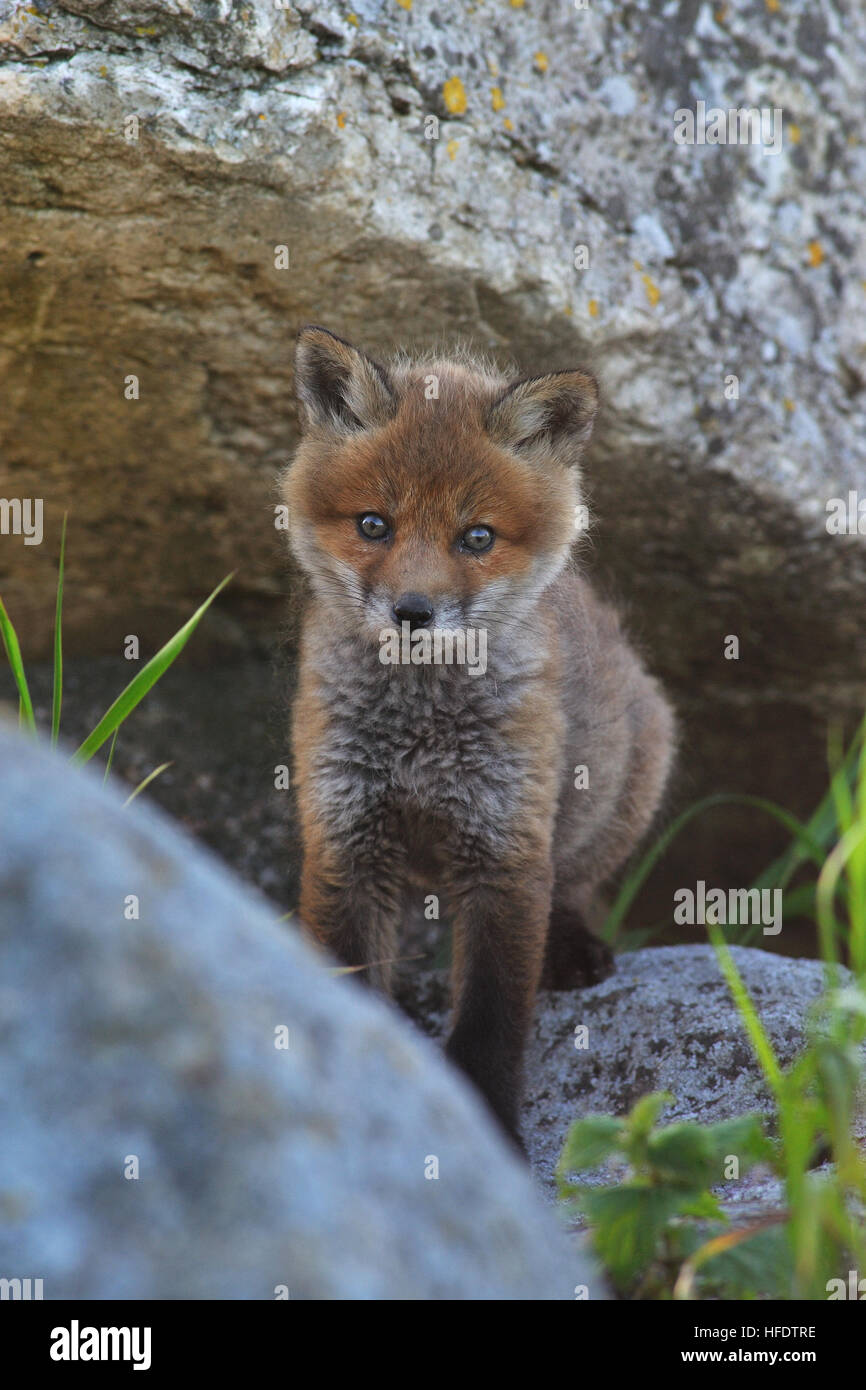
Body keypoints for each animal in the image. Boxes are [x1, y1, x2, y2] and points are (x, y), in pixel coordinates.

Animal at [282, 325, 675, 1149]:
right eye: (374, 524)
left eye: (477, 537)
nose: (413, 611)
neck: (419, 742)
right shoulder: (345, 838)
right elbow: (350, 983)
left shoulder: (506, 848)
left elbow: (492, 1019)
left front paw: (491, 1129)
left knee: (577, 884)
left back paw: (574, 946)